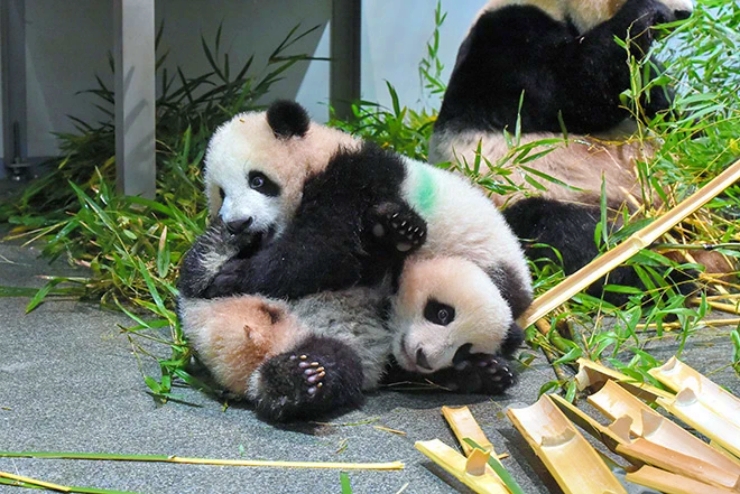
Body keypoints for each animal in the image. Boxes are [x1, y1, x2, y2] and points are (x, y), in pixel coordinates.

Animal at [177, 100, 532, 421]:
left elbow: (324, 250)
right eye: (221, 193)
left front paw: (234, 276)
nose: (238, 223)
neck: (317, 156)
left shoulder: (355, 182)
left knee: (339, 364)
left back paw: (293, 381)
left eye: (258, 180)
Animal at [429, 0, 710, 301]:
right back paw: (670, 281)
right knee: (578, 238)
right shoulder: (502, 46)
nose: (684, 13)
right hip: (519, 199)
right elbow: (572, 87)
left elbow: (654, 98)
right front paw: (645, 14)